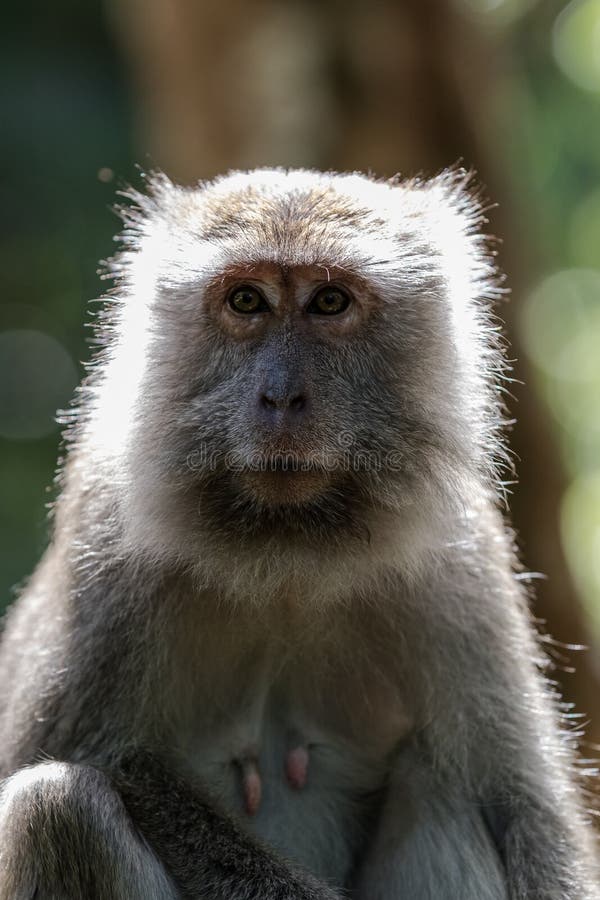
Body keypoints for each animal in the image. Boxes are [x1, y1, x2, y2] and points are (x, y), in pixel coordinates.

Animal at [0, 165, 598, 900]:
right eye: (247, 300)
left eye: (330, 301)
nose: (281, 397)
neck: (287, 554)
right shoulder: (105, 550)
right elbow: (108, 771)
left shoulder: (461, 567)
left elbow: (527, 813)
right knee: (58, 808)